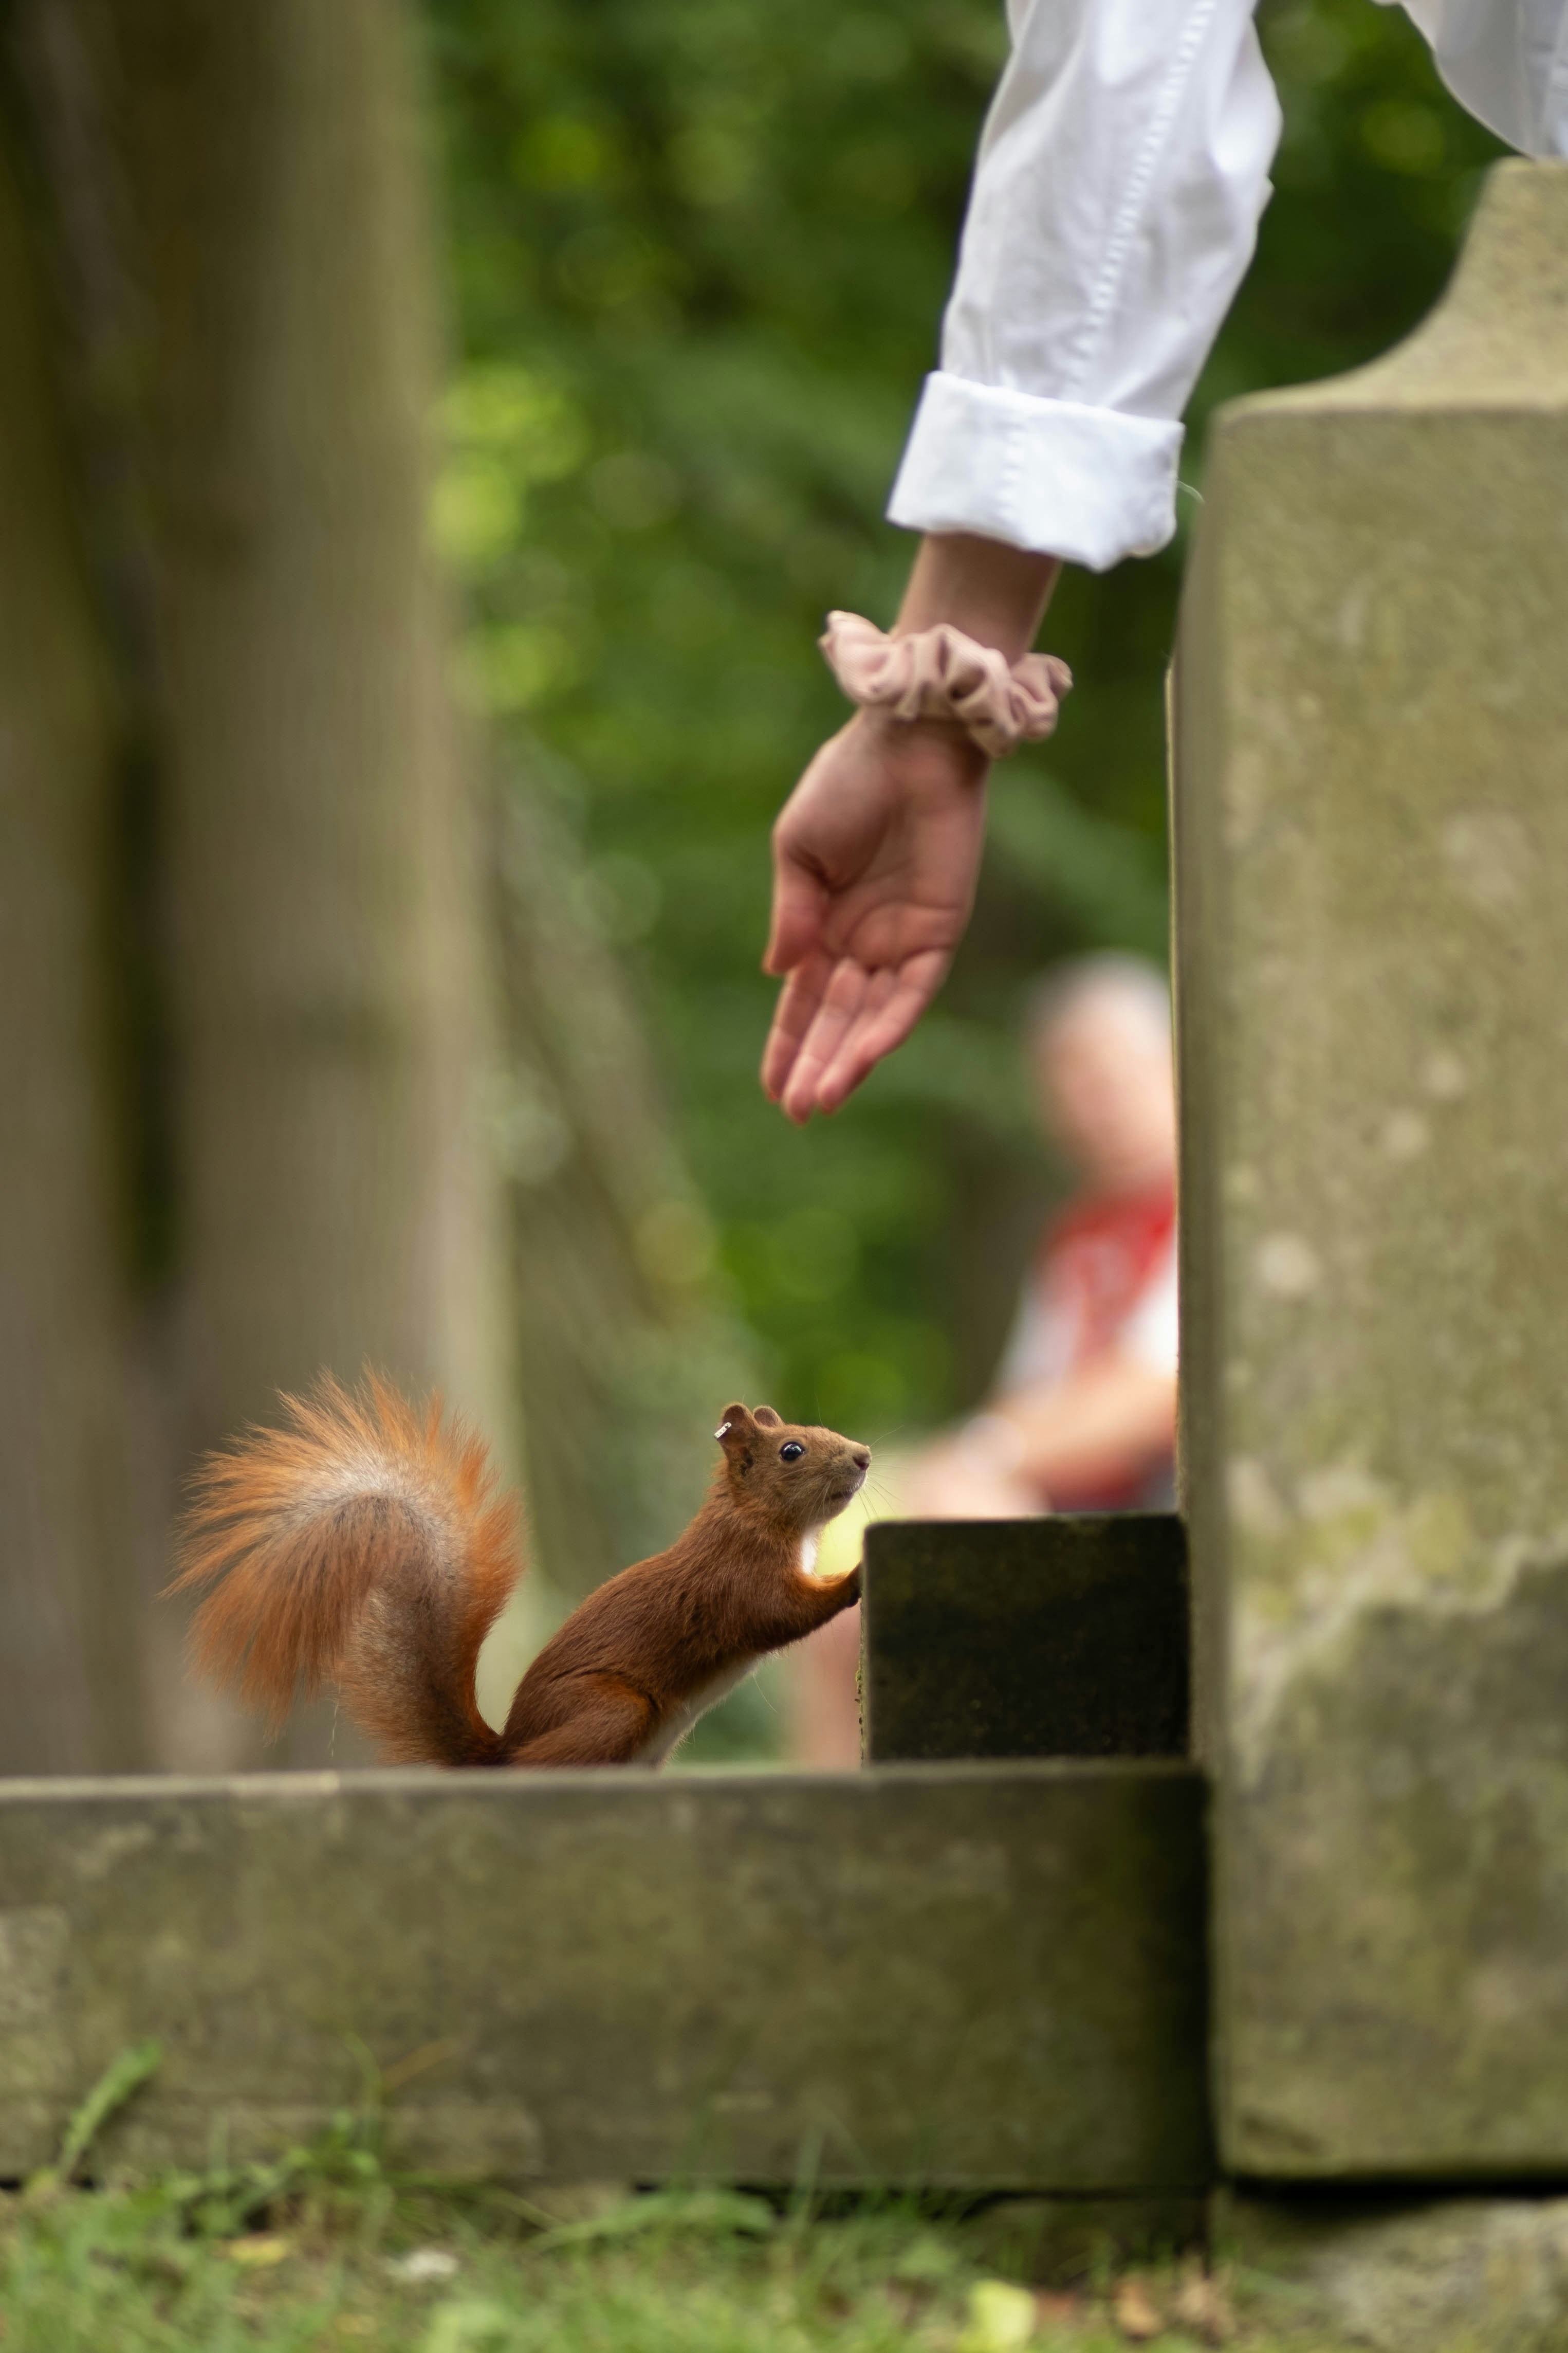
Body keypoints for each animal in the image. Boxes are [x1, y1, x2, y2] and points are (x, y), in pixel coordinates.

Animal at [166, 1373, 871, 1768]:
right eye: (792, 1449)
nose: (865, 1455)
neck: (755, 1521)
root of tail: (501, 1754)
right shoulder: (737, 1581)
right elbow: (784, 1613)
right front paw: (856, 1575)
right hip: (610, 1710)